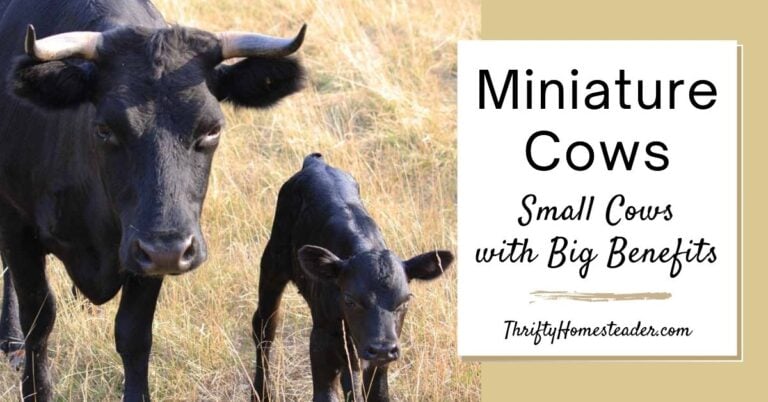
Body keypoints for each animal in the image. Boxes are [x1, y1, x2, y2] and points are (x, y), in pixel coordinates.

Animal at [0, 0, 306, 400]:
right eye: (104, 129)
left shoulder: (146, 248)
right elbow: (38, 315)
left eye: (212, 129)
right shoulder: (16, 222)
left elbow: (133, 333)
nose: (167, 250)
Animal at [252, 153, 454, 402]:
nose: (382, 348)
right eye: (349, 299)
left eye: (405, 300)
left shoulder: (379, 356)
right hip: (273, 263)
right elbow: (325, 394)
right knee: (264, 328)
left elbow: (376, 393)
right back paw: (261, 393)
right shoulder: (321, 341)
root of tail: (316, 163)